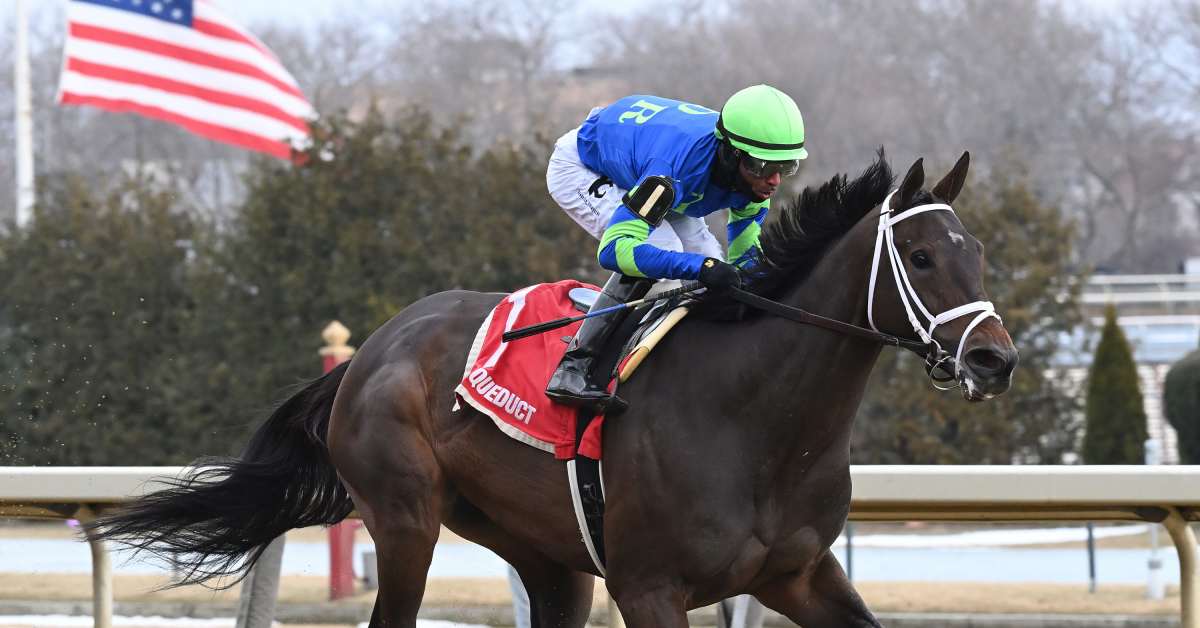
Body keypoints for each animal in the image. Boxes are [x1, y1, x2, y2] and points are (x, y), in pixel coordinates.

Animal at [91, 150, 1018, 628]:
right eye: (922, 257)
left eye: (978, 253)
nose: (994, 360)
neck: (763, 425)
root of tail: (368, 352)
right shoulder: (650, 588)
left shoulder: (799, 575)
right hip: (405, 518)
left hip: (544, 555)